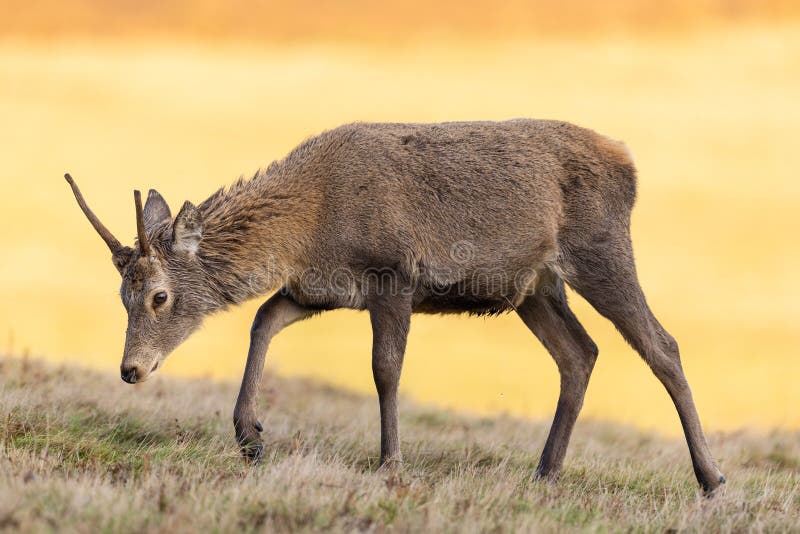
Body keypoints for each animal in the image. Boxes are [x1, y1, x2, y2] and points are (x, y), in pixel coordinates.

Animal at [65, 119, 725, 493]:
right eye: (121, 296)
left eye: (160, 296)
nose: (131, 369)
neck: (310, 228)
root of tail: (629, 161)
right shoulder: (321, 290)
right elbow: (262, 318)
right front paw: (250, 437)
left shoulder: (394, 274)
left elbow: (385, 370)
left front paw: (390, 464)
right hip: (534, 286)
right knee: (580, 353)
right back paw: (545, 472)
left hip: (598, 246)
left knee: (661, 345)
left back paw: (711, 477)